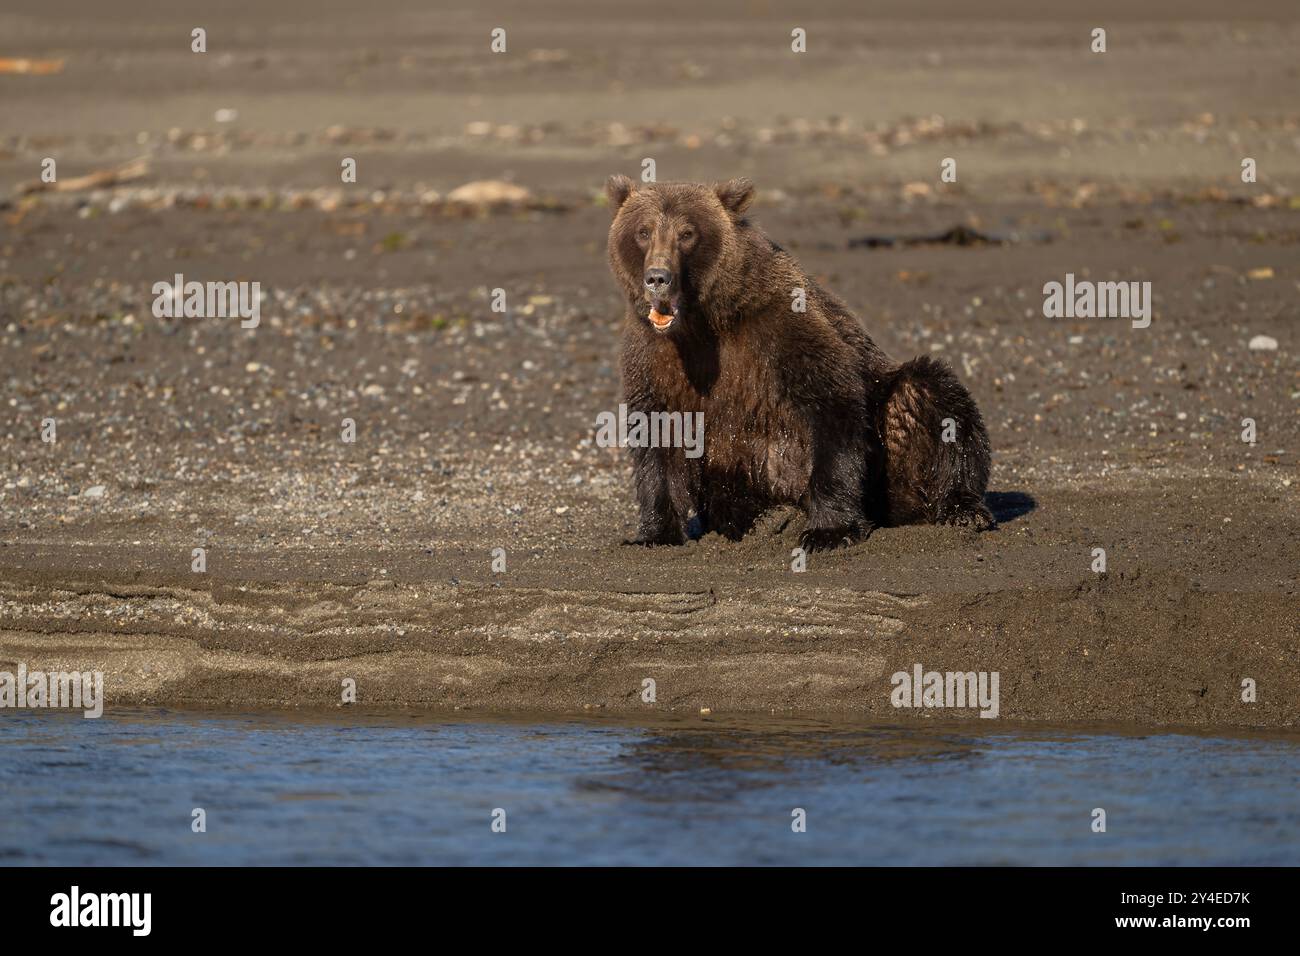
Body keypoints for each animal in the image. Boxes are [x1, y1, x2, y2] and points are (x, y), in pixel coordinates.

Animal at [605, 174, 994, 552]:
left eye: (687, 233)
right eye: (643, 231)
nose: (658, 277)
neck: (704, 322)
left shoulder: (780, 323)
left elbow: (831, 399)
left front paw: (829, 531)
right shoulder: (654, 356)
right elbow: (658, 431)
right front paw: (653, 534)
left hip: (891, 457)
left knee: (929, 395)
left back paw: (962, 509)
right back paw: (769, 519)